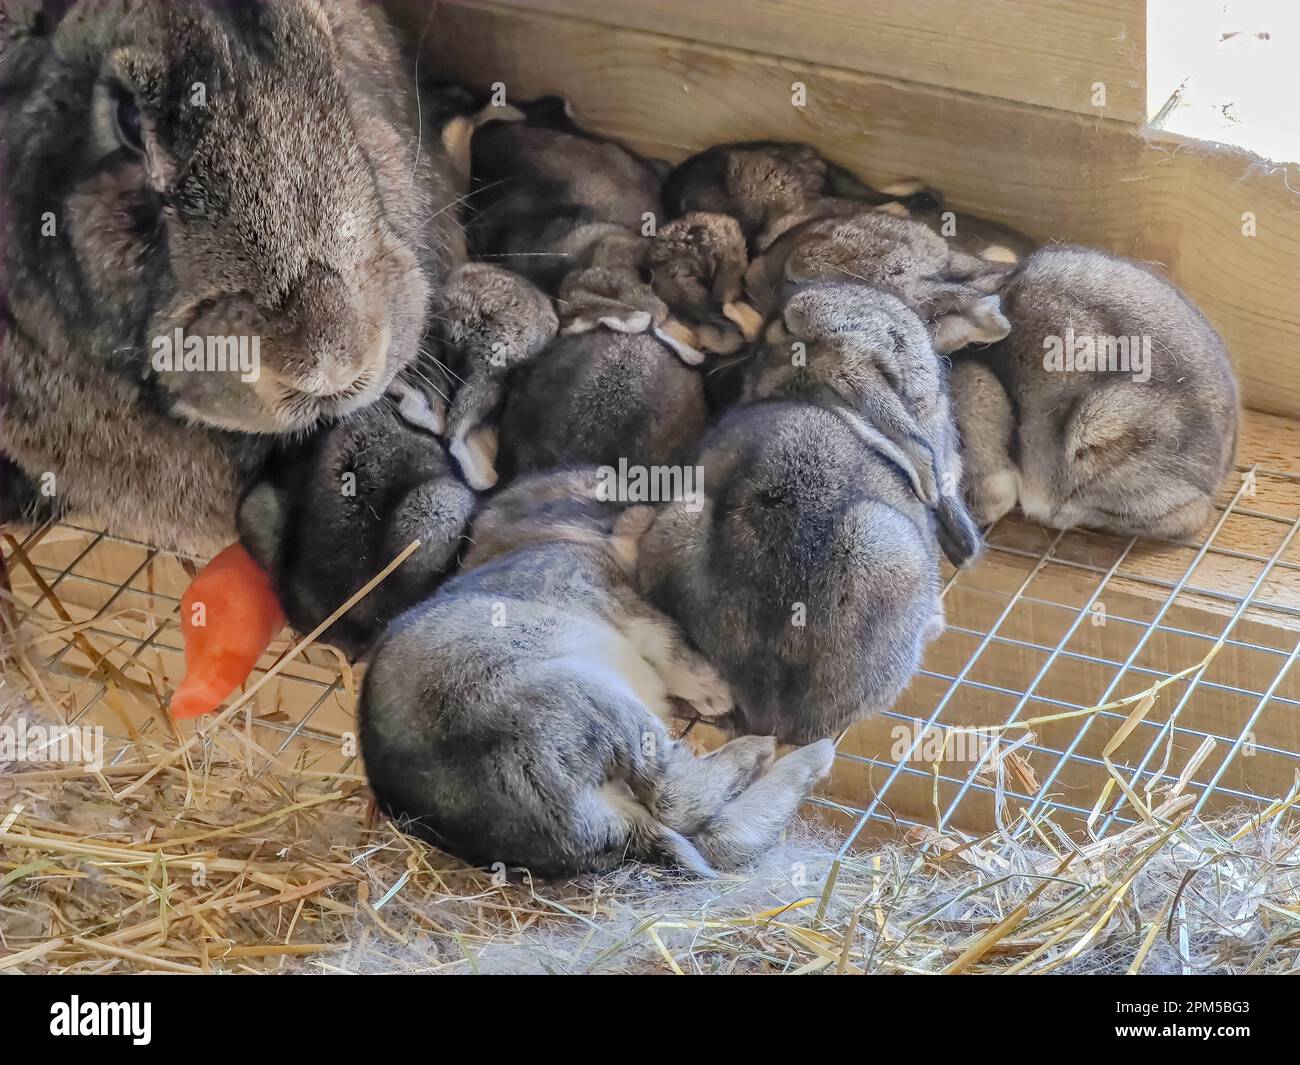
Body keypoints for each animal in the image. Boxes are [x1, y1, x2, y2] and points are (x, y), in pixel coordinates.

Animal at [360, 467, 836, 877]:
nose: (641, 510)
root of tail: (580, 821)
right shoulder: (623, 602)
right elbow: (673, 647)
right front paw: (716, 693)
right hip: (595, 700)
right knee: (677, 796)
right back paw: (783, 751)